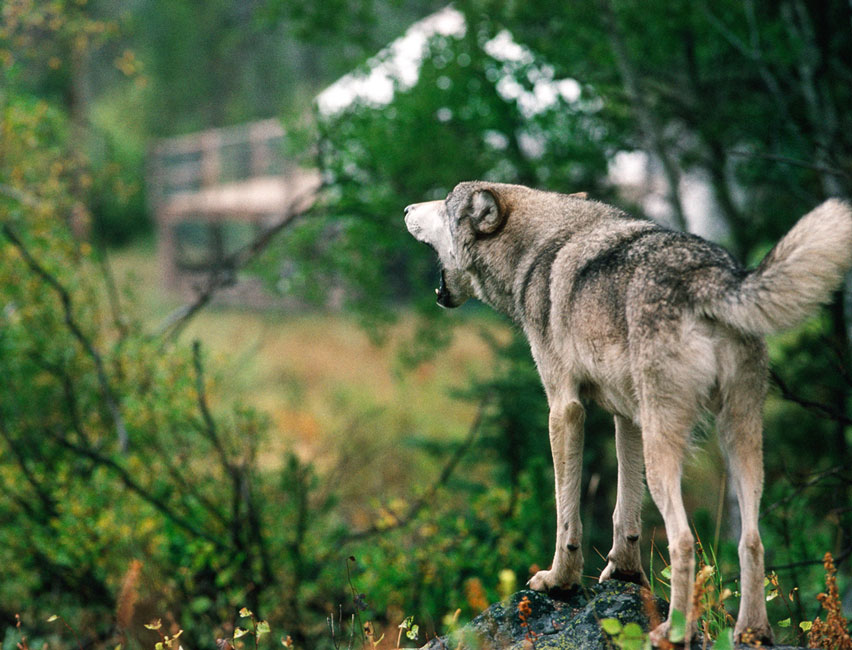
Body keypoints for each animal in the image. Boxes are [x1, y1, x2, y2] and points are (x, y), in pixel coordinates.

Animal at [404, 181, 852, 645]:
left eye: (444, 203)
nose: (406, 209)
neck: (537, 251)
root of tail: (708, 274)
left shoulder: (563, 409)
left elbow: (567, 514)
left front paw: (560, 581)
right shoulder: (627, 418)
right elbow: (626, 511)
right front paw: (626, 573)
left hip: (666, 449)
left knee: (683, 541)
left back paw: (672, 633)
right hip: (740, 437)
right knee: (752, 539)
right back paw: (752, 632)